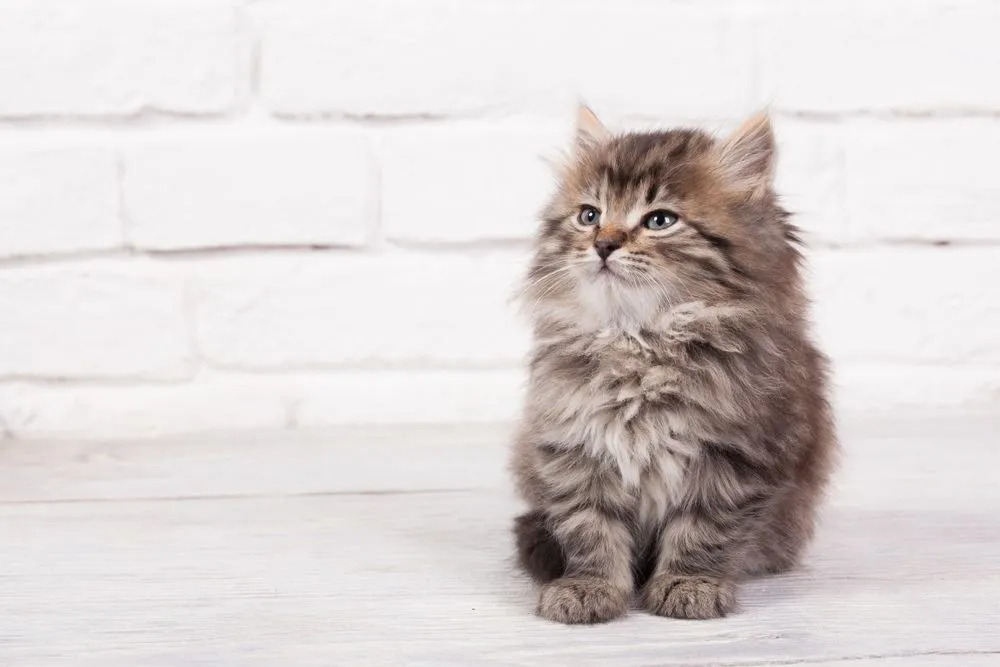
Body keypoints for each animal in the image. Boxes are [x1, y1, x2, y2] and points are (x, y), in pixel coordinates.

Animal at [508, 107, 836, 624]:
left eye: (660, 220)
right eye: (589, 215)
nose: (604, 244)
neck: (640, 340)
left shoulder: (733, 454)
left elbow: (703, 530)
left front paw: (689, 584)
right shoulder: (576, 446)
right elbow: (590, 527)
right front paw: (589, 588)